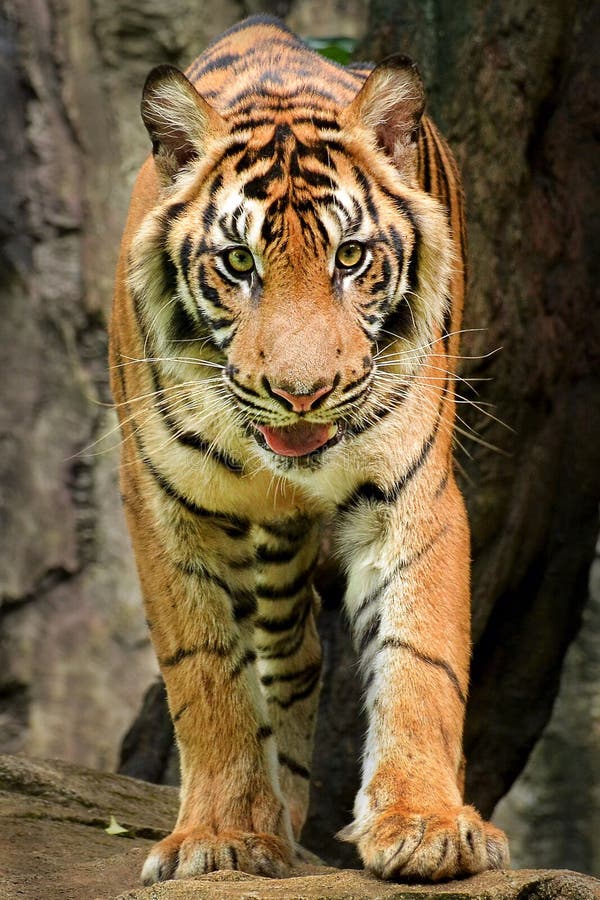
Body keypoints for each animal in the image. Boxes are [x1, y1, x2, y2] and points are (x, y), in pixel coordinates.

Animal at [109, 13, 510, 885]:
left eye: (350, 257)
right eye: (238, 262)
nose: (303, 394)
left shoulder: (411, 491)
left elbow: (420, 657)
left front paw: (425, 823)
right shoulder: (164, 503)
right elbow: (206, 673)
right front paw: (221, 833)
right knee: (278, 657)